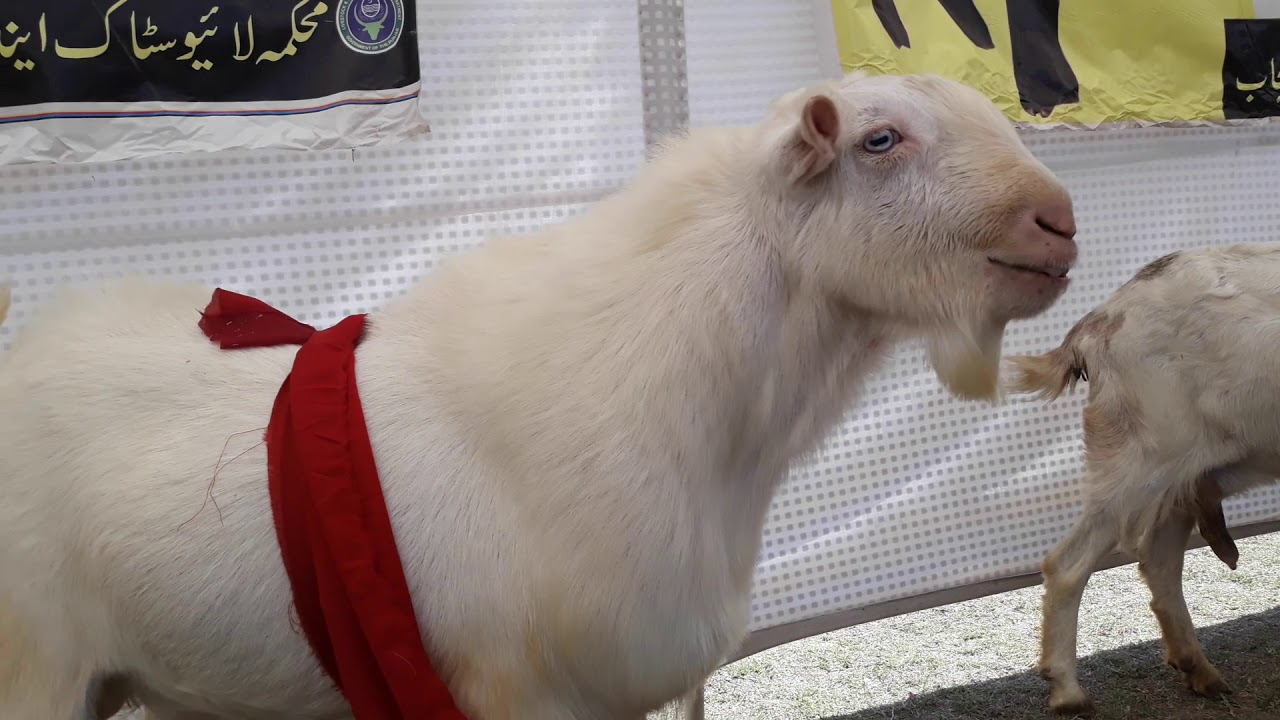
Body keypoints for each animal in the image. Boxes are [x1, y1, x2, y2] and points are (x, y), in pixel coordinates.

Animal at [1006, 242, 1280, 716]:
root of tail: (1097, 323)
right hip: (1141, 464)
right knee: (1067, 564)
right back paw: (1068, 692)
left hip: (1183, 476)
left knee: (1159, 559)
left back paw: (1199, 671)